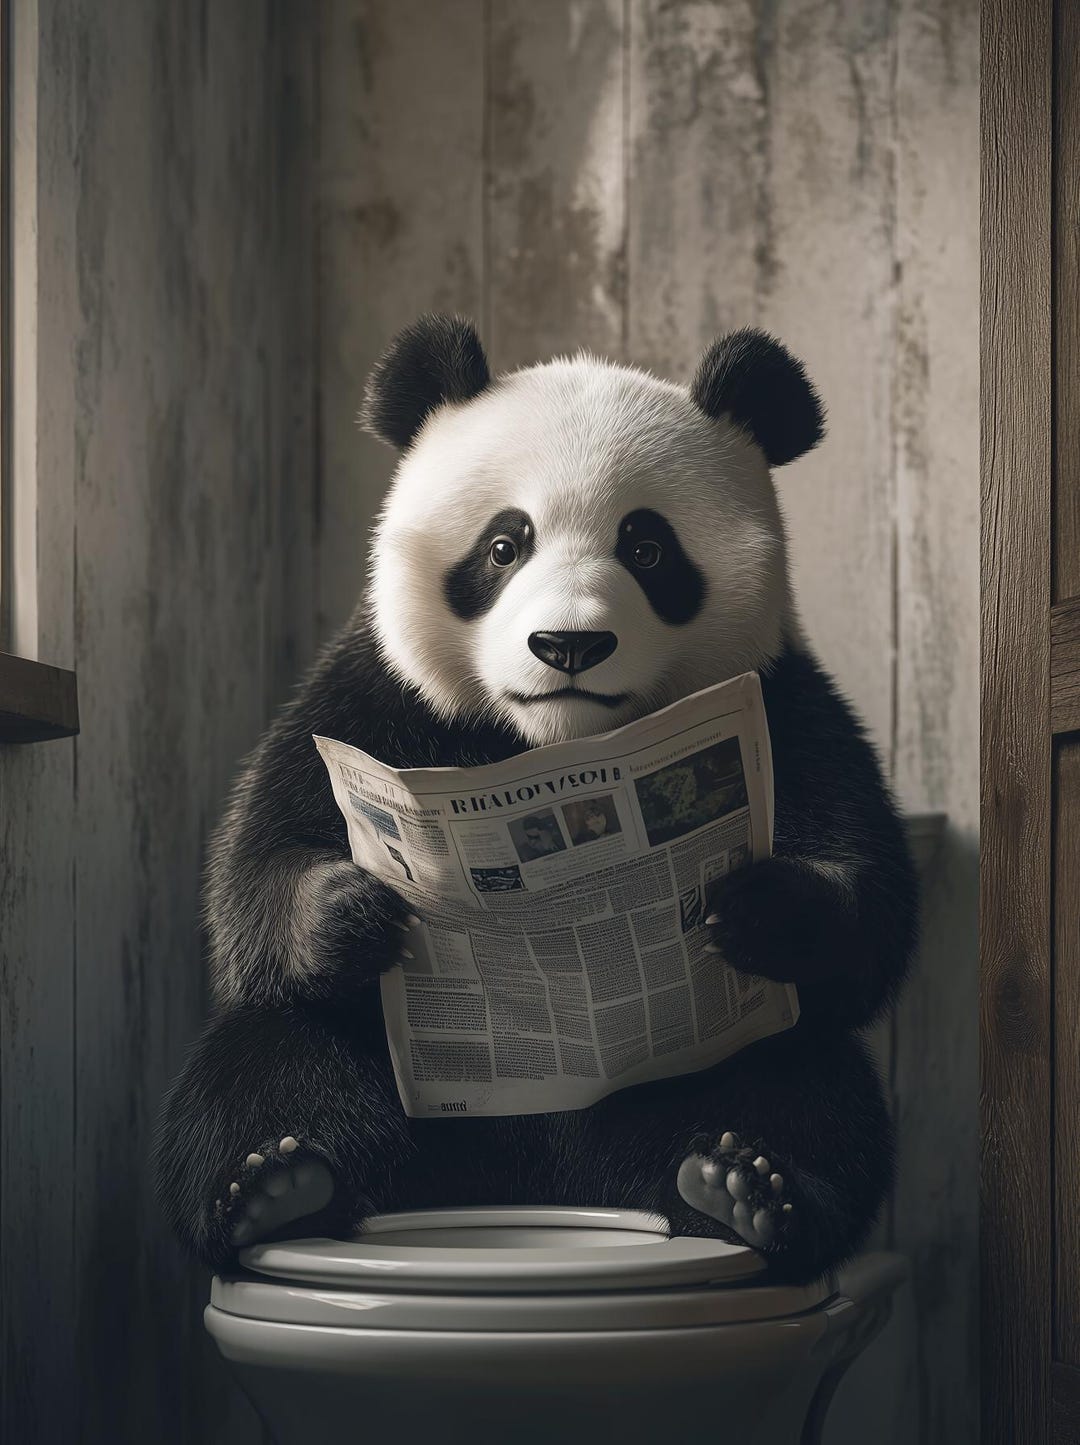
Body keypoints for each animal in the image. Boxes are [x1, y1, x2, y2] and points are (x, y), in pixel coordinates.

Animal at [155, 314, 918, 1285]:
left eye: (647, 547)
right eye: (503, 546)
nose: (569, 645)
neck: (548, 742)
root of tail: (546, 1188)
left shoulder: (779, 699)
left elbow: (865, 907)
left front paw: (755, 905)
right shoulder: (375, 697)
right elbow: (258, 864)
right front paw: (352, 906)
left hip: (696, 1078)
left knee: (807, 1085)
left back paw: (743, 1187)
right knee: (263, 1059)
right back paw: (276, 1185)